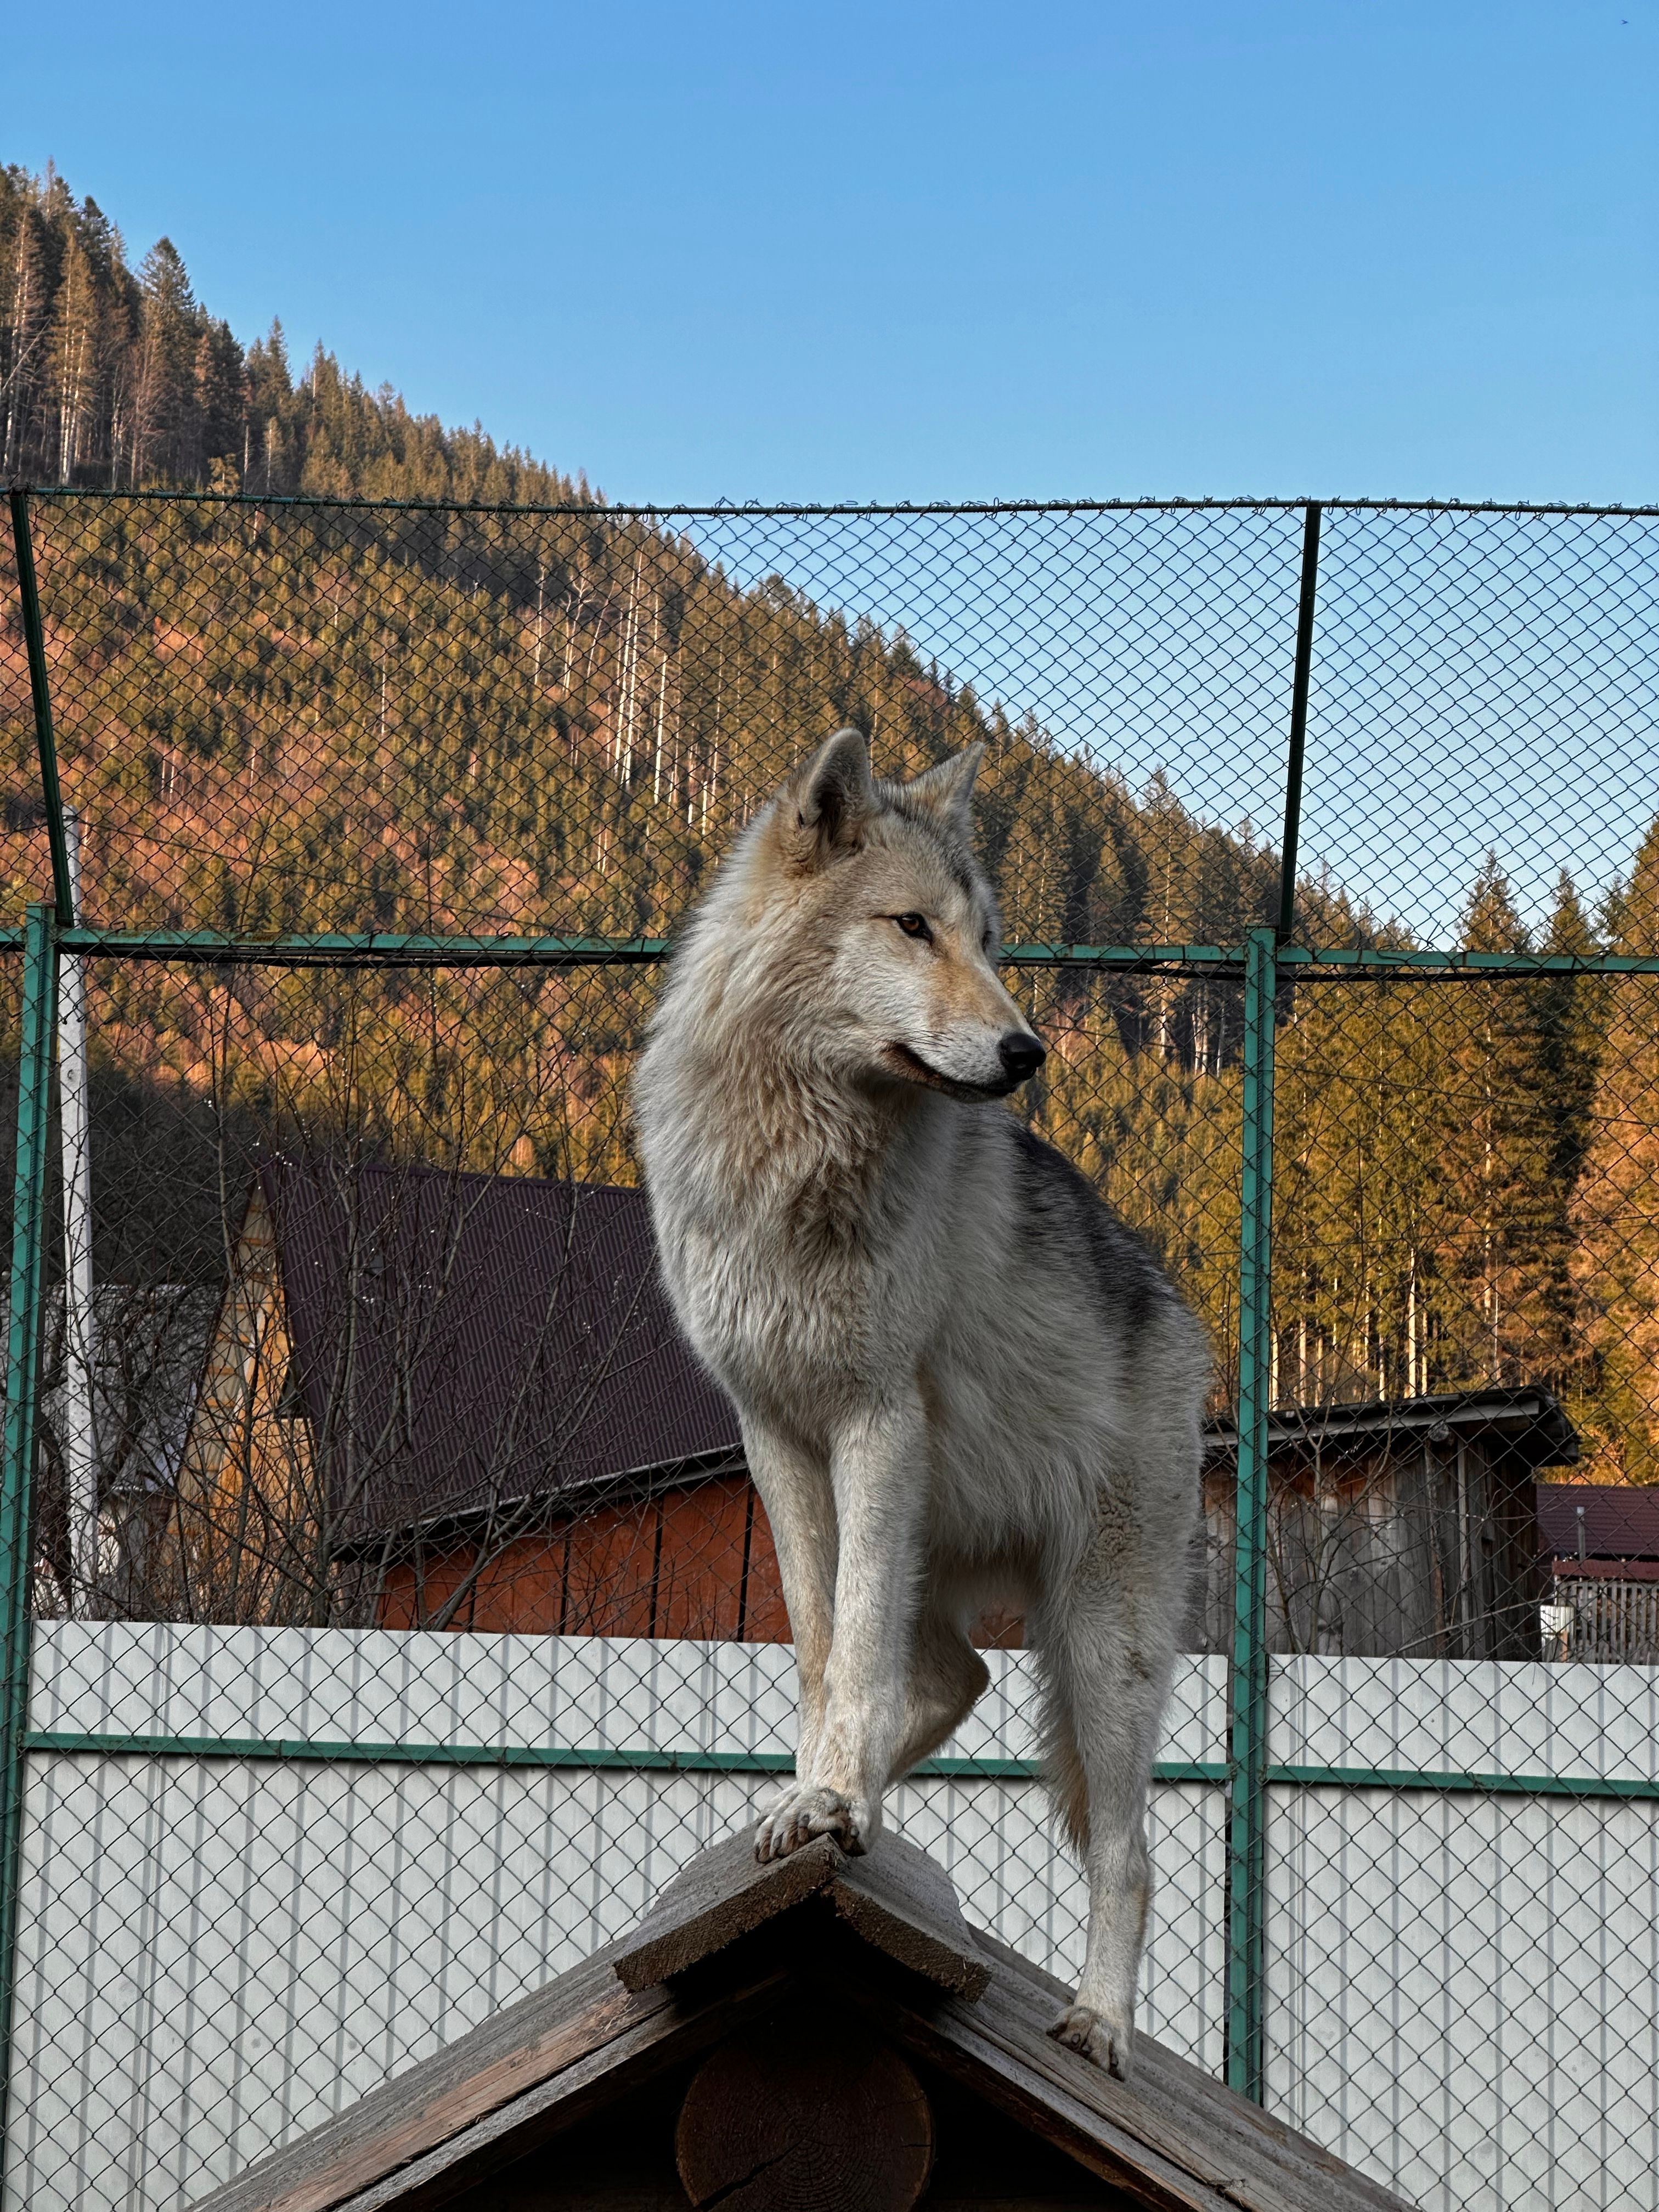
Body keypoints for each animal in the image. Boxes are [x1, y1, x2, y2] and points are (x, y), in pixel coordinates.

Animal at [632, 727, 1207, 2077]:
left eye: (988, 938)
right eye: (911, 927)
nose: (1026, 1053)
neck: (798, 1153)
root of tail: (1179, 1311)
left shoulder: (876, 1422)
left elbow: (852, 1659)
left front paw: (833, 1796)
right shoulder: (776, 1435)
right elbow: (818, 1643)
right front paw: (818, 1800)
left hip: (1101, 1644)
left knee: (1127, 1852)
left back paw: (1098, 2024)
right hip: (950, 1565)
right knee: (956, 1678)